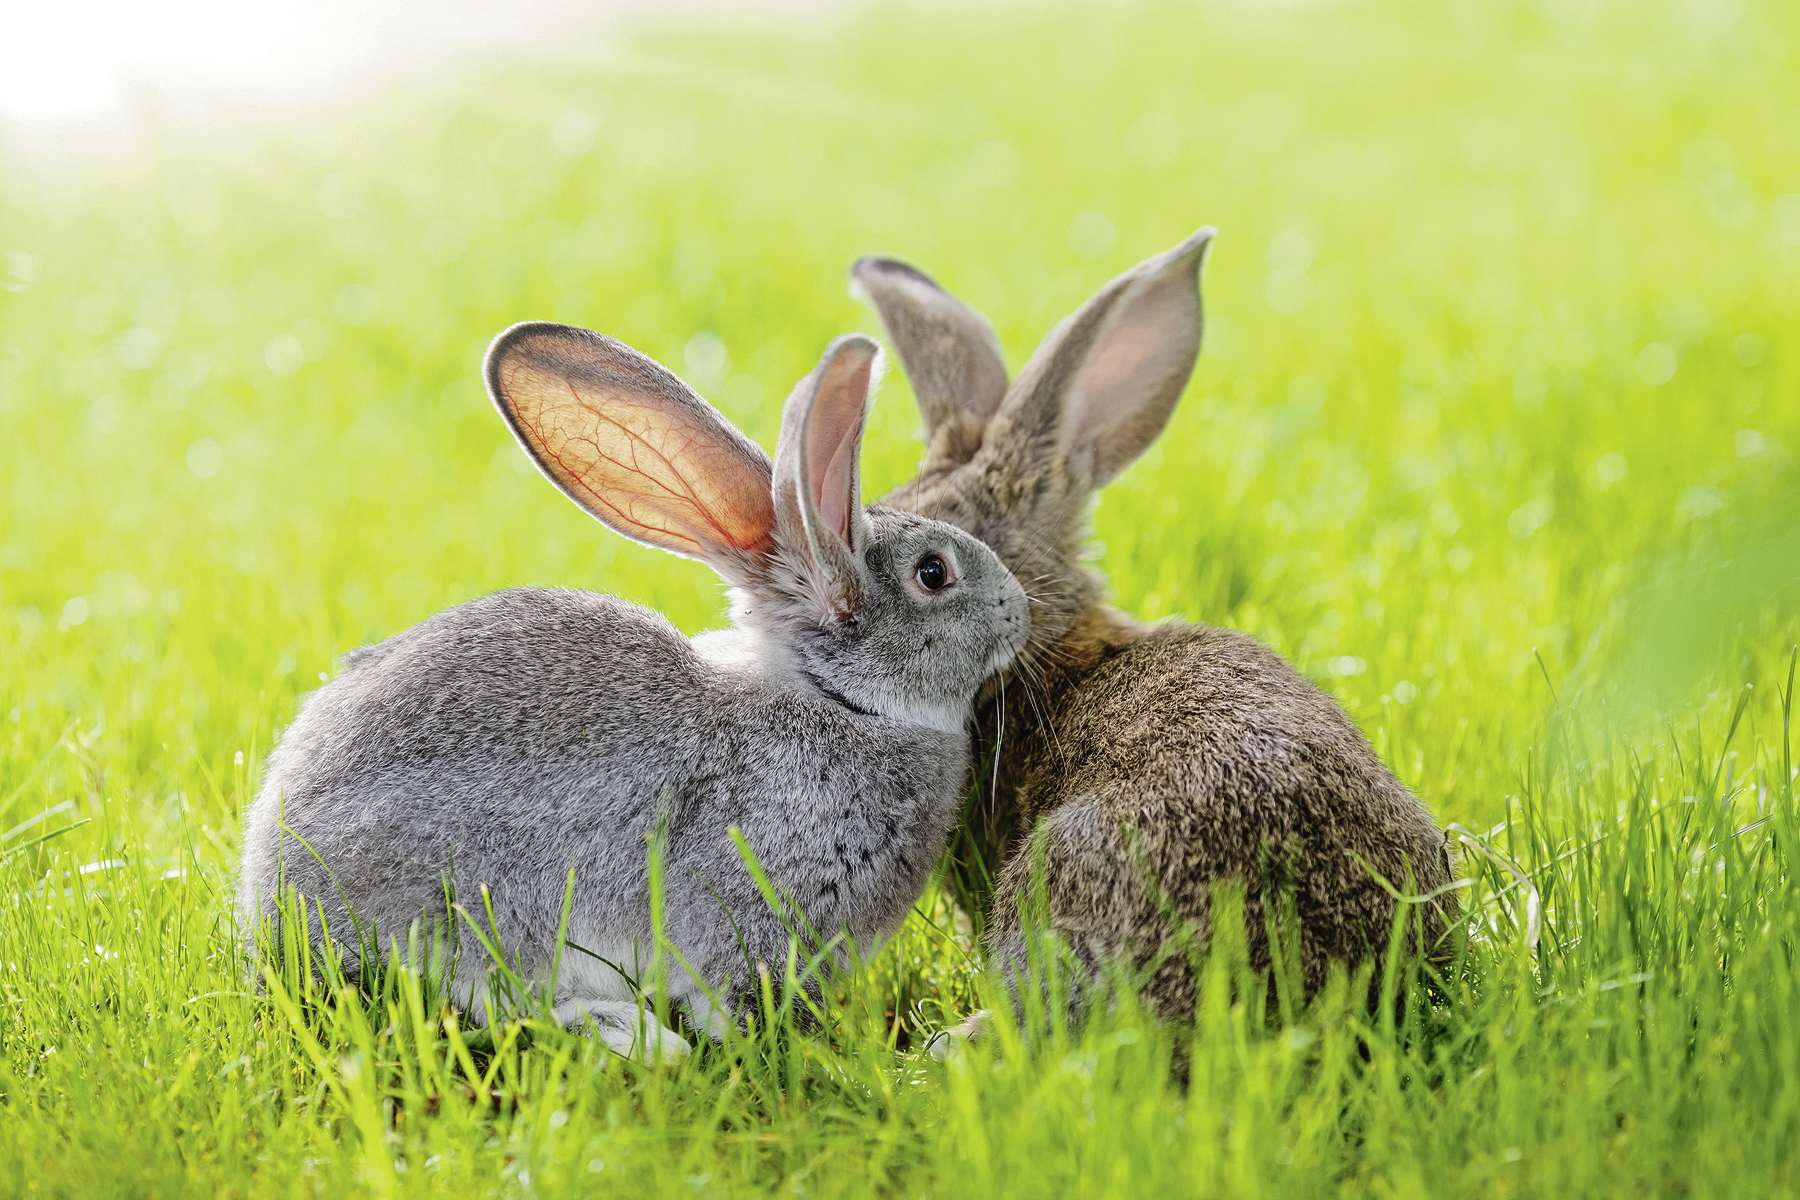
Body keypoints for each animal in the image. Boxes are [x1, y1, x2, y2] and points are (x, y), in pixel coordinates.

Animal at [235, 325, 1030, 1061]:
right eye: (934, 574)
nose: (1019, 611)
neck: (838, 699)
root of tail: (268, 900)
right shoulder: (752, 918)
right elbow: (739, 1000)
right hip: (477, 905)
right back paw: (634, 1038)